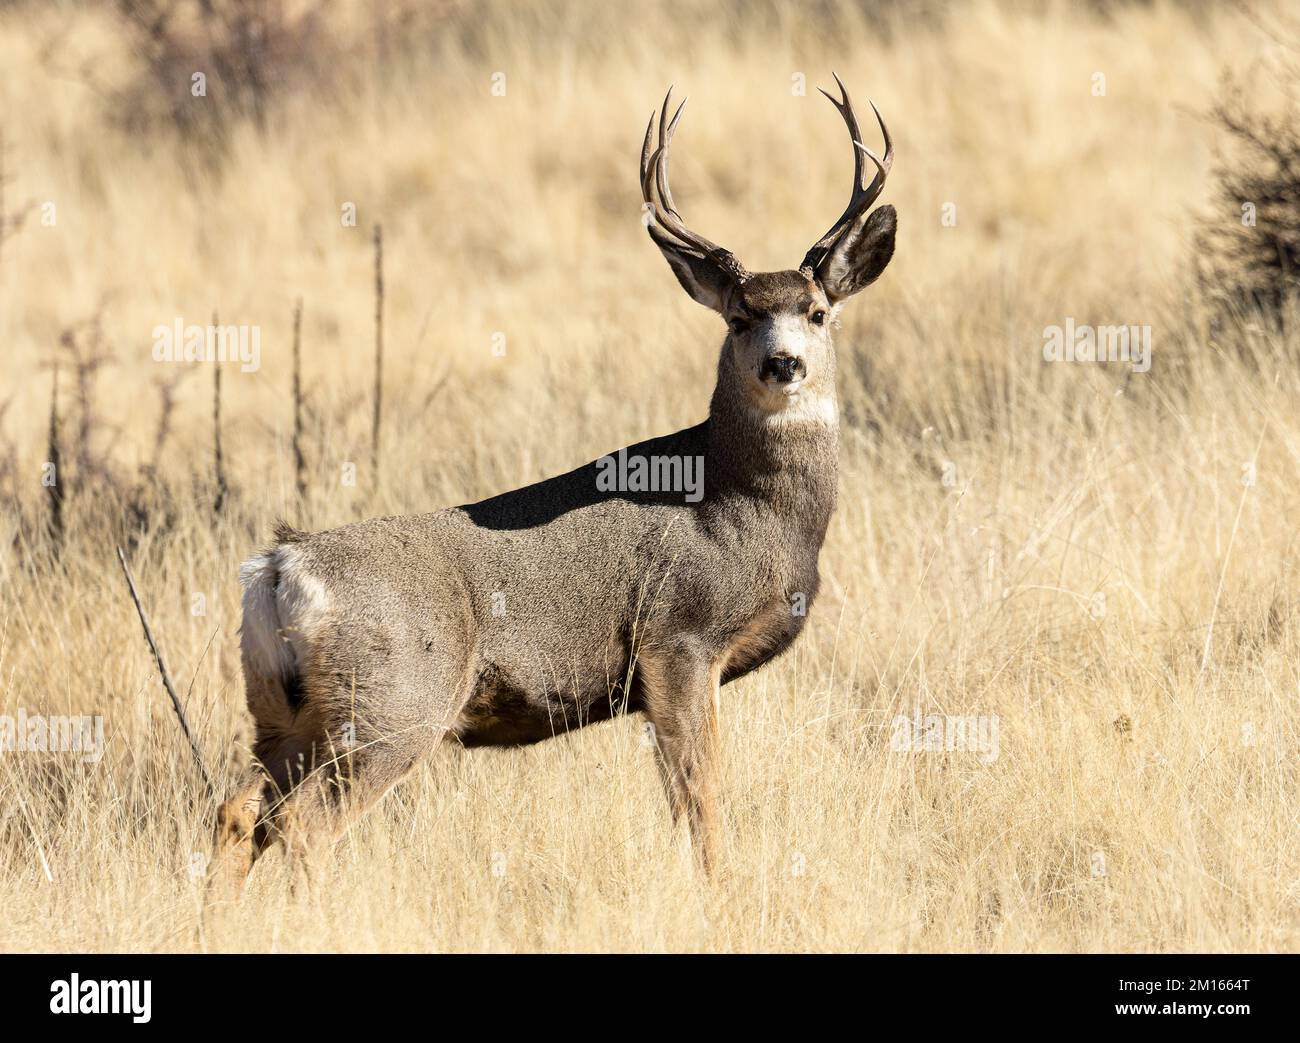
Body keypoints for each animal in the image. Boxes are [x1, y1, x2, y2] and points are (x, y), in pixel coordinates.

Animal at [208, 76, 895, 894]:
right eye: (738, 317)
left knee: (240, 809)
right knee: (305, 823)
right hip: (392, 698)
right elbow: (700, 796)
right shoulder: (677, 639)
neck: (739, 504)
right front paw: (716, 891)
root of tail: (281, 564)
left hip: (283, 711)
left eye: (817, 312)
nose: (782, 363)